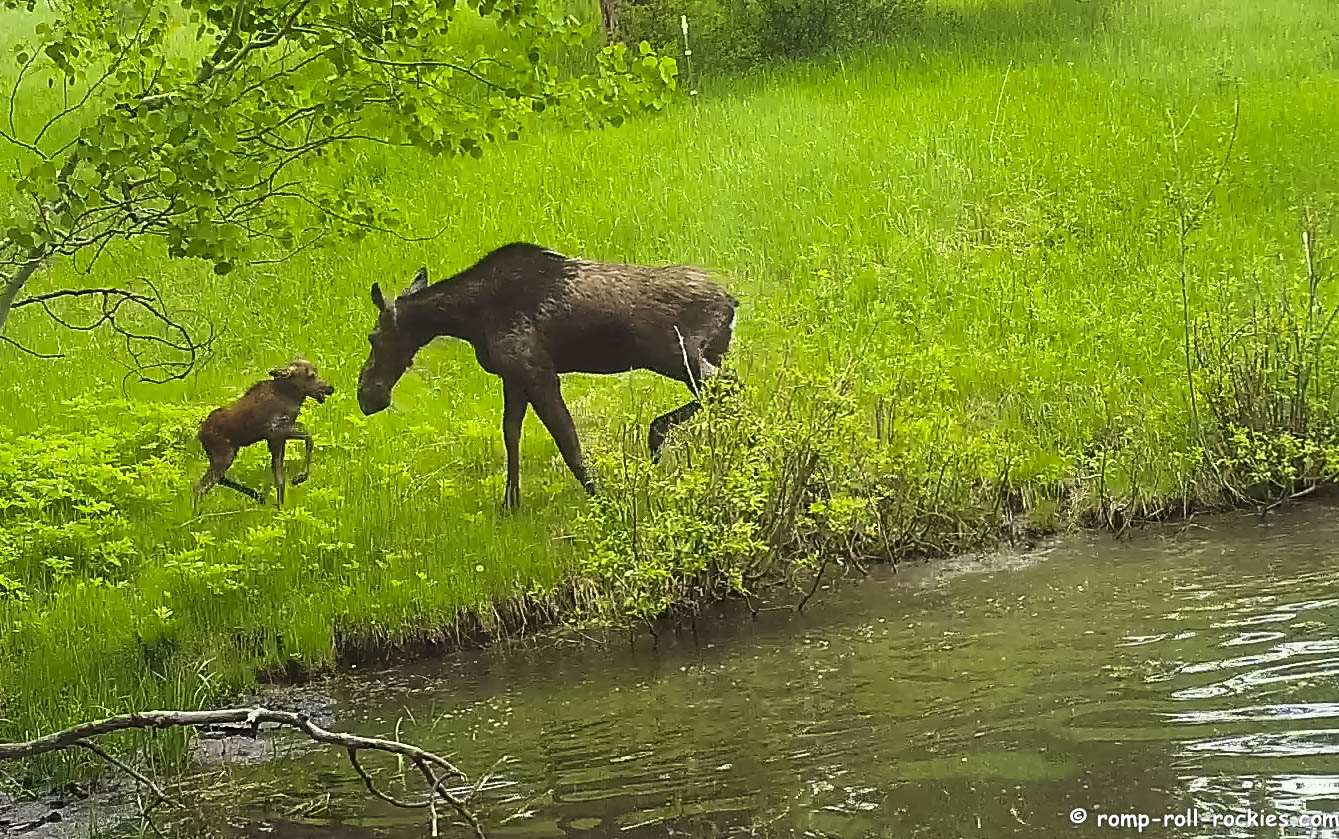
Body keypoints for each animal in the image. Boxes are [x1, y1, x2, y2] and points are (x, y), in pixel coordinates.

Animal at [194, 359, 336, 508]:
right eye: (311, 375)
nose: (330, 388)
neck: (292, 397)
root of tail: (200, 434)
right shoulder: (277, 432)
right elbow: (309, 439)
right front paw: (299, 478)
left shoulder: (278, 437)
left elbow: (279, 477)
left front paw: (281, 507)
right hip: (224, 455)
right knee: (201, 487)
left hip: (226, 454)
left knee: (216, 480)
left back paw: (258, 496)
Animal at [356, 242, 740, 508]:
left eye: (373, 337)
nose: (366, 395)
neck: (468, 319)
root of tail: (731, 303)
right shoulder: (513, 377)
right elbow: (511, 434)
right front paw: (510, 502)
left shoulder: (538, 372)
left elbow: (569, 444)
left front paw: (602, 500)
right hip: (703, 355)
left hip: (677, 356)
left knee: (727, 387)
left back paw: (659, 435)